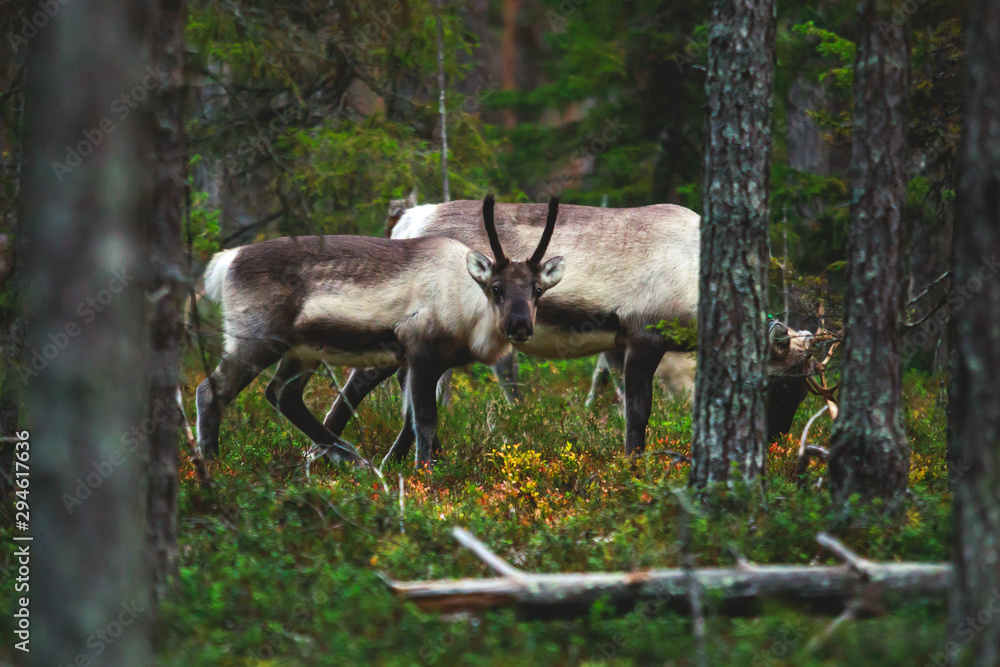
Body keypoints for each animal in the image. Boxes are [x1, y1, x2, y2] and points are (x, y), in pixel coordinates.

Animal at [195, 195, 565, 467]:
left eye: (537, 290)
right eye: (497, 288)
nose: (520, 325)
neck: (464, 302)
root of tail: (226, 261)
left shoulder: (426, 362)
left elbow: (411, 419)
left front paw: (404, 464)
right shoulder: (421, 354)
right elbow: (424, 419)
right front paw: (424, 472)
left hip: (303, 351)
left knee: (283, 395)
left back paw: (351, 458)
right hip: (257, 339)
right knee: (211, 391)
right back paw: (214, 464)